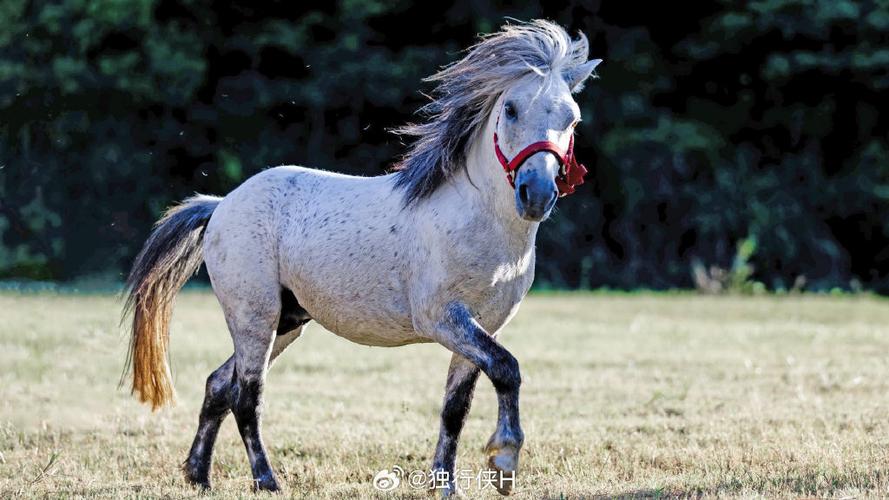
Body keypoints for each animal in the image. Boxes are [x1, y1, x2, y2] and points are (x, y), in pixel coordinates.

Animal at [123, 19, 601, 496]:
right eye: (512, 109)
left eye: (572, 118)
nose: (536, 194)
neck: (476, 218)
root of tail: (222, 205)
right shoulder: (443, 319)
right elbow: (506, 368)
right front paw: (503, 459)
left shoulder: (485, 324)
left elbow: (456, 407)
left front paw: (445, 484)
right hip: (254, 317)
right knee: (246, 395)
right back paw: (266, 480)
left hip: (287, 321)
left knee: (219, 384)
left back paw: (198, 474)